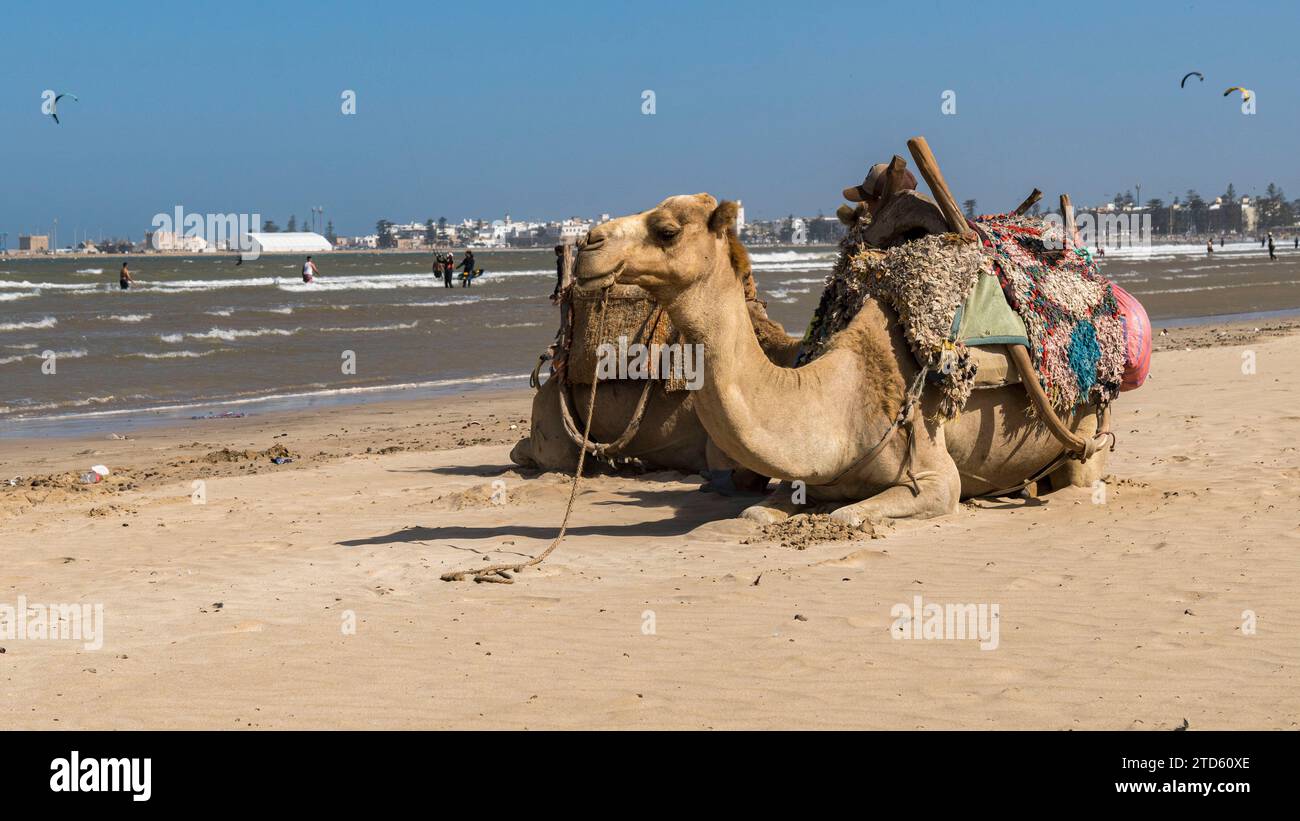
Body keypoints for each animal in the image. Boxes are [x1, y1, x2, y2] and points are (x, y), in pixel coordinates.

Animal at [573, 193, 1110, 526]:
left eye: (666, 230)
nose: (587, 244)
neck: (840, 399)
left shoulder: (934, 470)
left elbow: (849, 514)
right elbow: (755, 511)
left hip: (1086, 425)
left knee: (1081, 470)